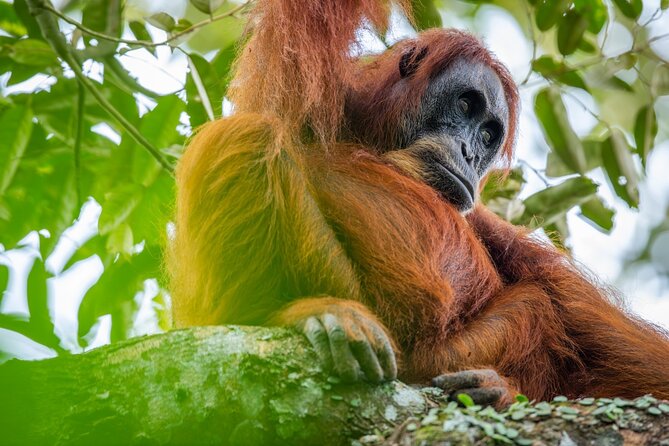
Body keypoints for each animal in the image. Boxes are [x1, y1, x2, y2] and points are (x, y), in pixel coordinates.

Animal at [168, 0, 669, 408]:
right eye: (466, 105)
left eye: (488, 134)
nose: (469, 152)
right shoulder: (299, 89)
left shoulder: (485, 220)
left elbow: (591, 326)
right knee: (246, 137)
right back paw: (303, 315)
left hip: (441, 358)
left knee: (542, 305)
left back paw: (495, 391)